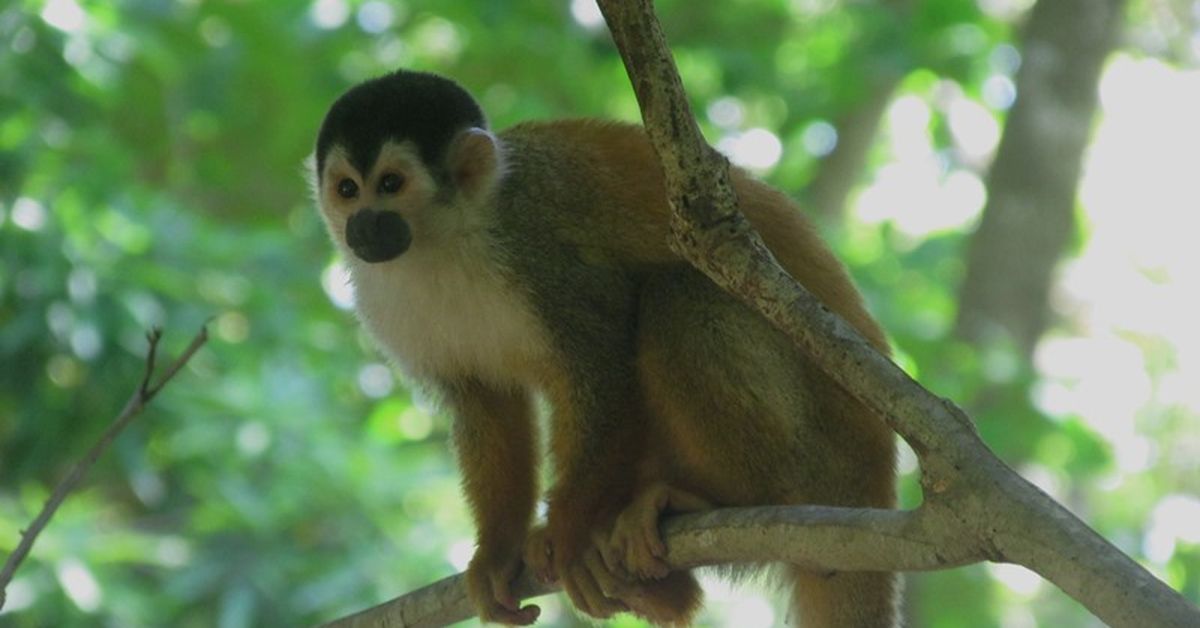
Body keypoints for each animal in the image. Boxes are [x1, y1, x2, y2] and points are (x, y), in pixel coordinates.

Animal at [310, 69, 898, 627]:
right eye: (347, 189)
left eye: (391, 183)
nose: (363, 225)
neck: (447, 240)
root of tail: (874, 480)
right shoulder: (387, 306)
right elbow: (485, 404)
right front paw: (498, 551)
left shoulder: (536, 245)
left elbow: (603, 353)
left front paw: (566, 533)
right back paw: (660, 592)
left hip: (821, 458)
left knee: (678, 297)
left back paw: (724, 498)